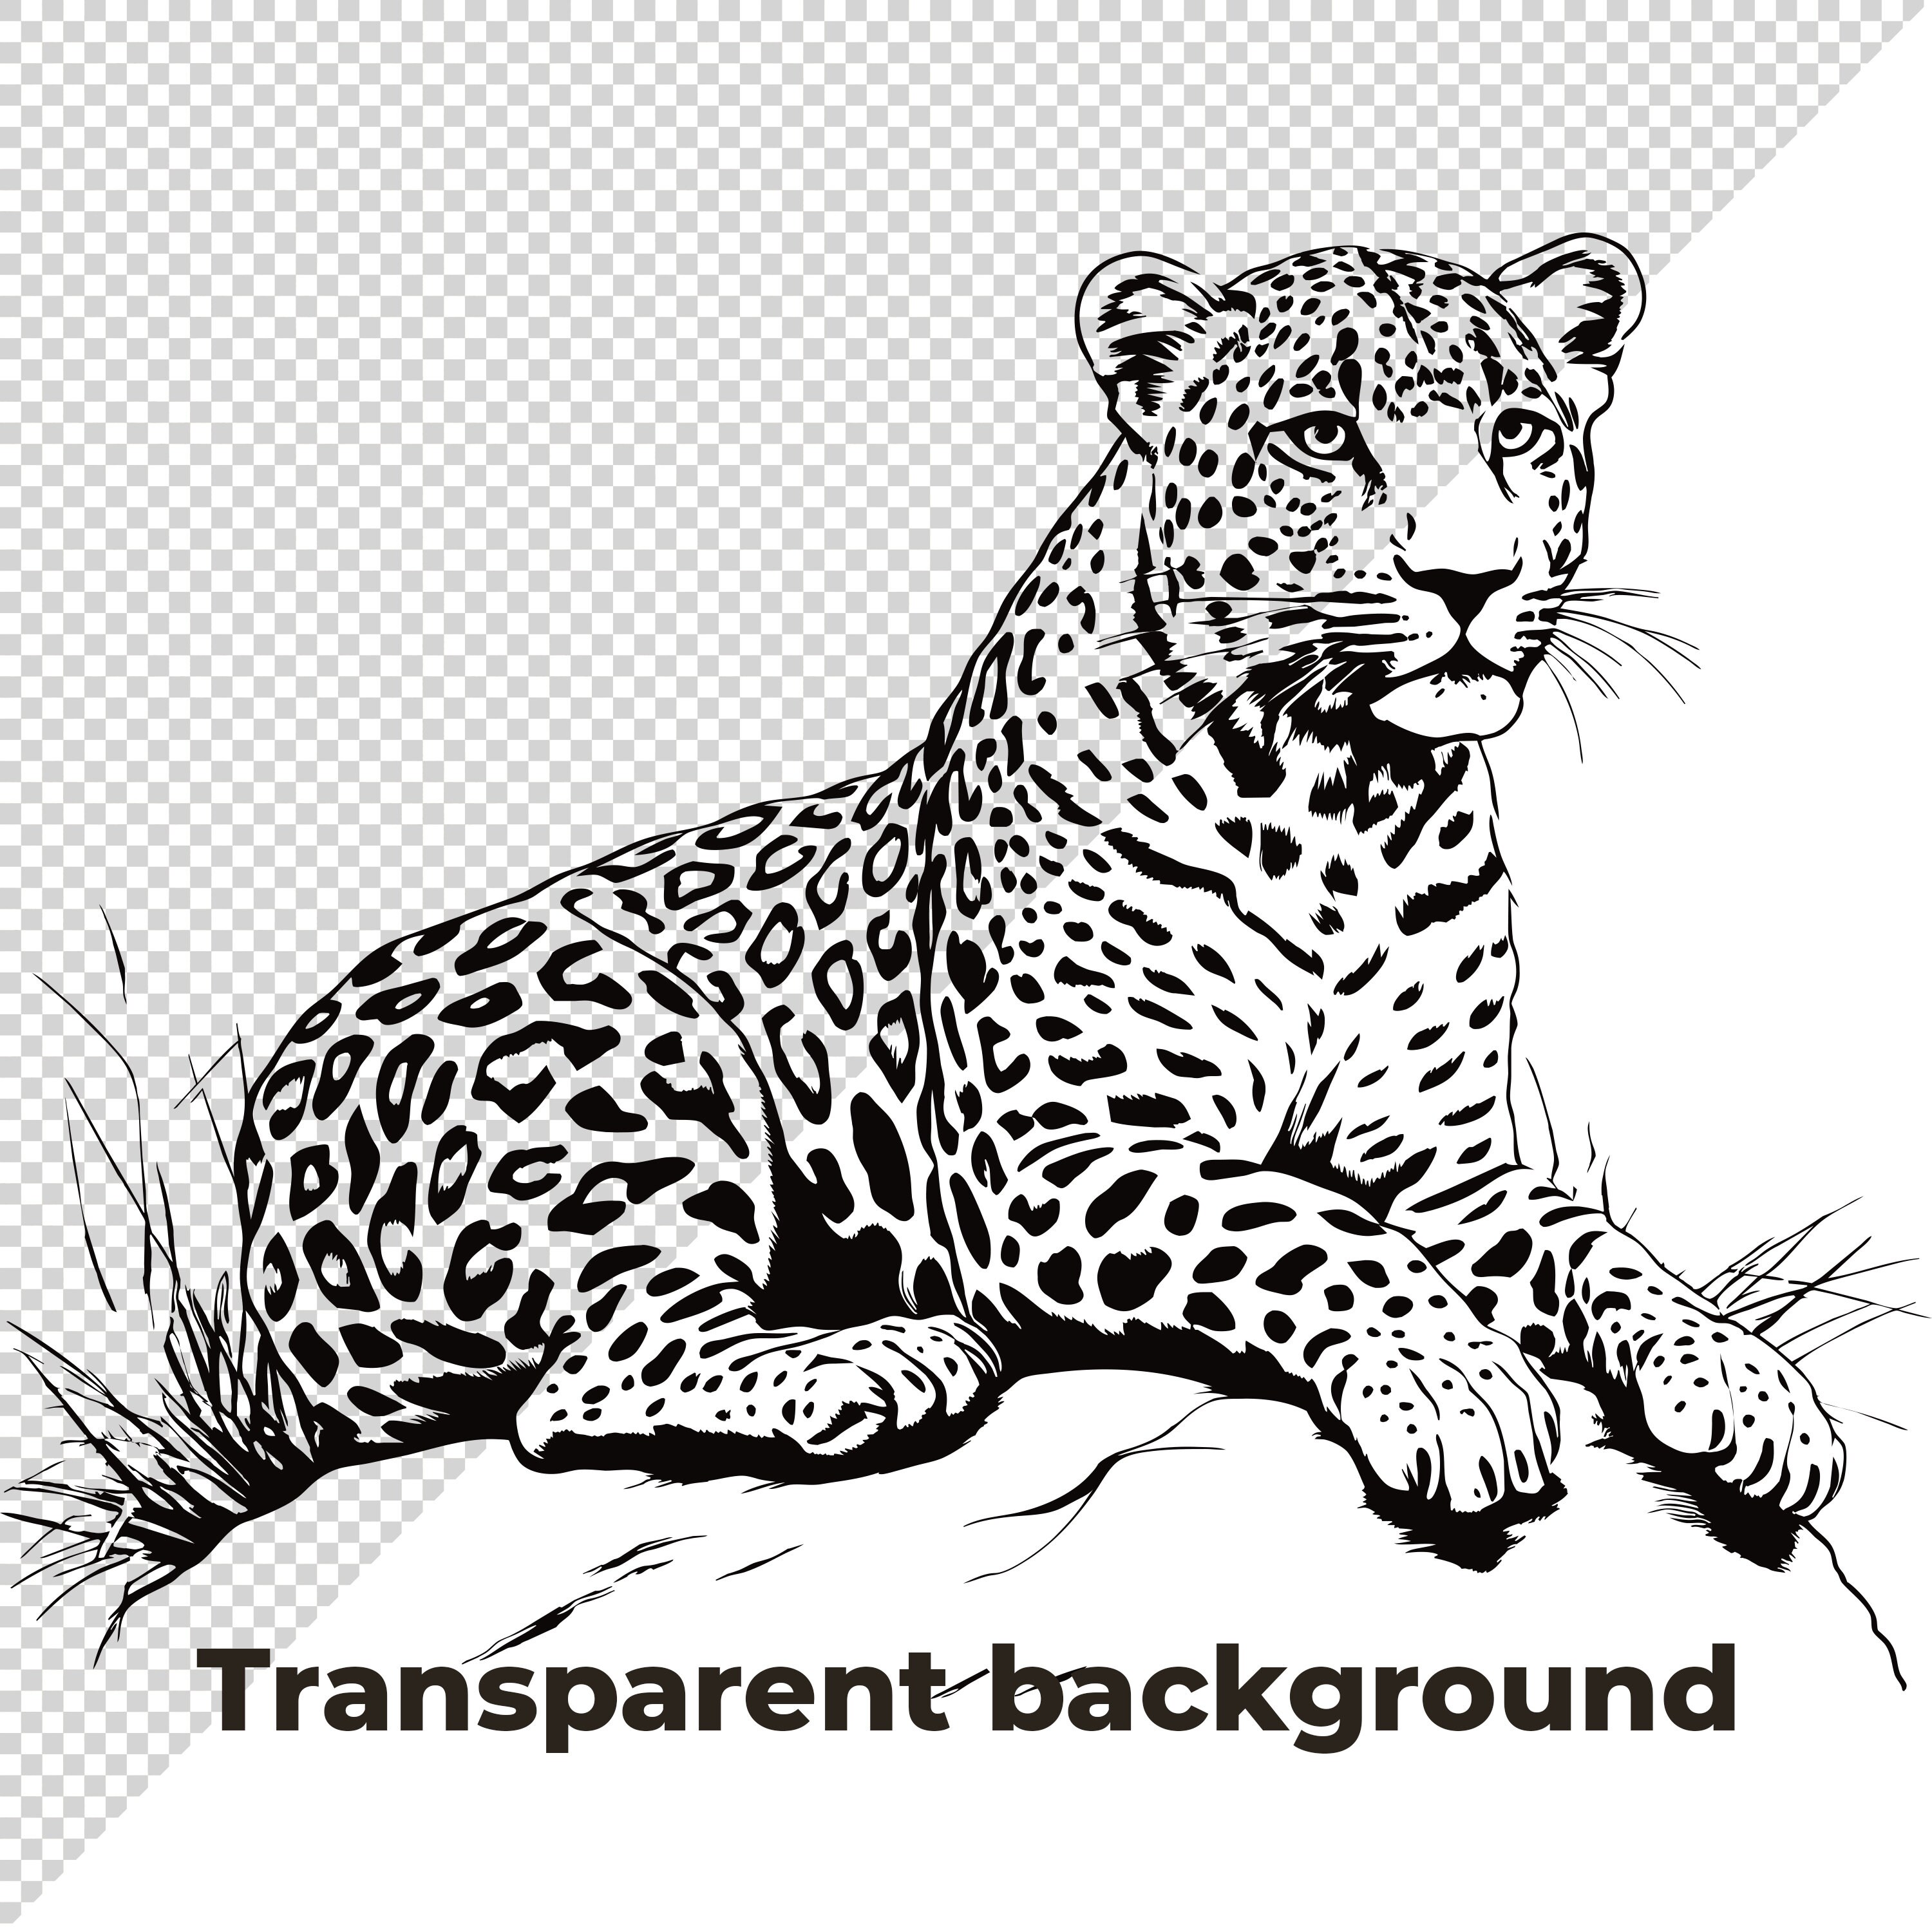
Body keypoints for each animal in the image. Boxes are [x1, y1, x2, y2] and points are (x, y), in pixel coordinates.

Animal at [233, 233, 1845, 1534]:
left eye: (1519, 430)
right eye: (1325, 435)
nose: (1472, 581)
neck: (1344, 802)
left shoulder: (1438, 1157)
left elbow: (1601, 1251)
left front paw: (1750, 1384)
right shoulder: (1056, 1155)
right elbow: (1311, 1230)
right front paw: (1455, 1382)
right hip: (621, 1045)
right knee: (580, 1386)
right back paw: (883, 1360)